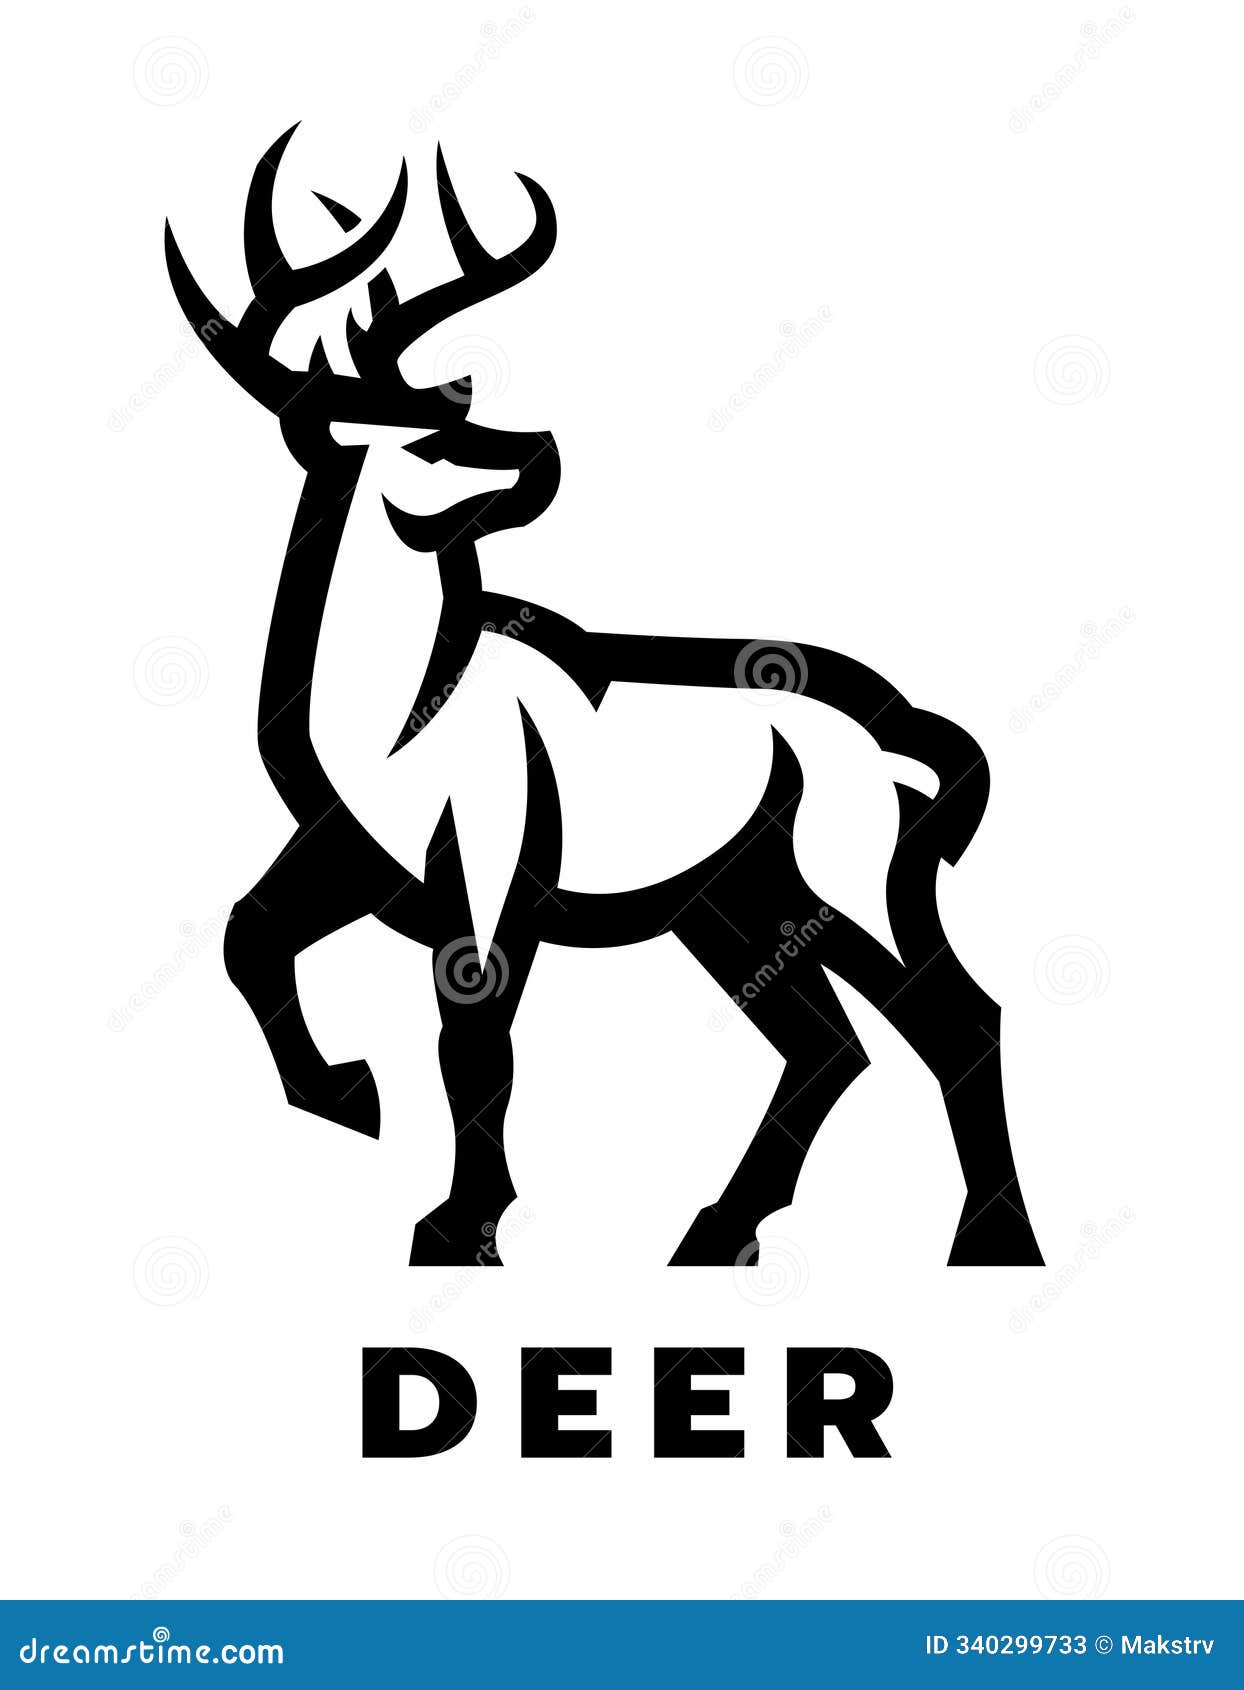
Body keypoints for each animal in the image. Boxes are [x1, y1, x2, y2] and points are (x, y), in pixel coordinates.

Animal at [165, 125, 1044, 1273]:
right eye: (428, 434)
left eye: (457, 402)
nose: (540, 453)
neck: (404, 714)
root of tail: (904, 732)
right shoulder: (349, 852)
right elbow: (246, 935)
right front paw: (353, 1099)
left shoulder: (494, 876)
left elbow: (474, 1042)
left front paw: (459, 1230)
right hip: (741, 909)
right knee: (828, 1043)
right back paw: (712, 1234)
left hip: (855, 887)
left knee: (959, 1017)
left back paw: (991, 1244)